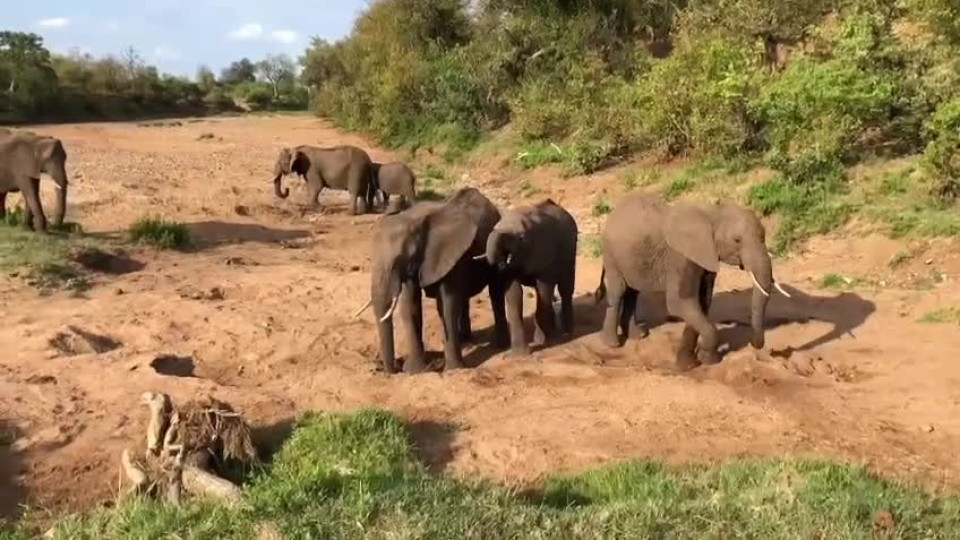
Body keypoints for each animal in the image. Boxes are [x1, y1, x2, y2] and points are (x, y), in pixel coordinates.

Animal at [359, 187, 508, 374]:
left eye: (398, 261)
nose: (392, 370)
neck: (414, 220)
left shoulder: (448, 254)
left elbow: (446, 306)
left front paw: (453, 369)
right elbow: (410, 307)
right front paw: (415, 370)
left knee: (495, 291)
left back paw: (501, 346)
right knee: (465, 298)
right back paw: (466, 342)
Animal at [485, 199, 578, 355]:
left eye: (521, 238)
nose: (502, 264)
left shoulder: (545, 252)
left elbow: (544, 288)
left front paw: (543, 342)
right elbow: (514, 294)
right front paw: (520, 354)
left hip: (571, 250)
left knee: (565, 288)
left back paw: (567, 333)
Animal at [596, 194, 790, 367]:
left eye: (764, 237)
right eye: (737, 240)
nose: (754, 345)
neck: (713, 214)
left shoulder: (707, 256)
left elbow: (701, 303)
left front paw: (691, 362)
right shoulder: (680, 257)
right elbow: (680, 302)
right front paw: (707, 358)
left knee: (632, 292)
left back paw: (638, 335)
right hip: (611, 254)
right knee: (618, 291)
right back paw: (612, 344)